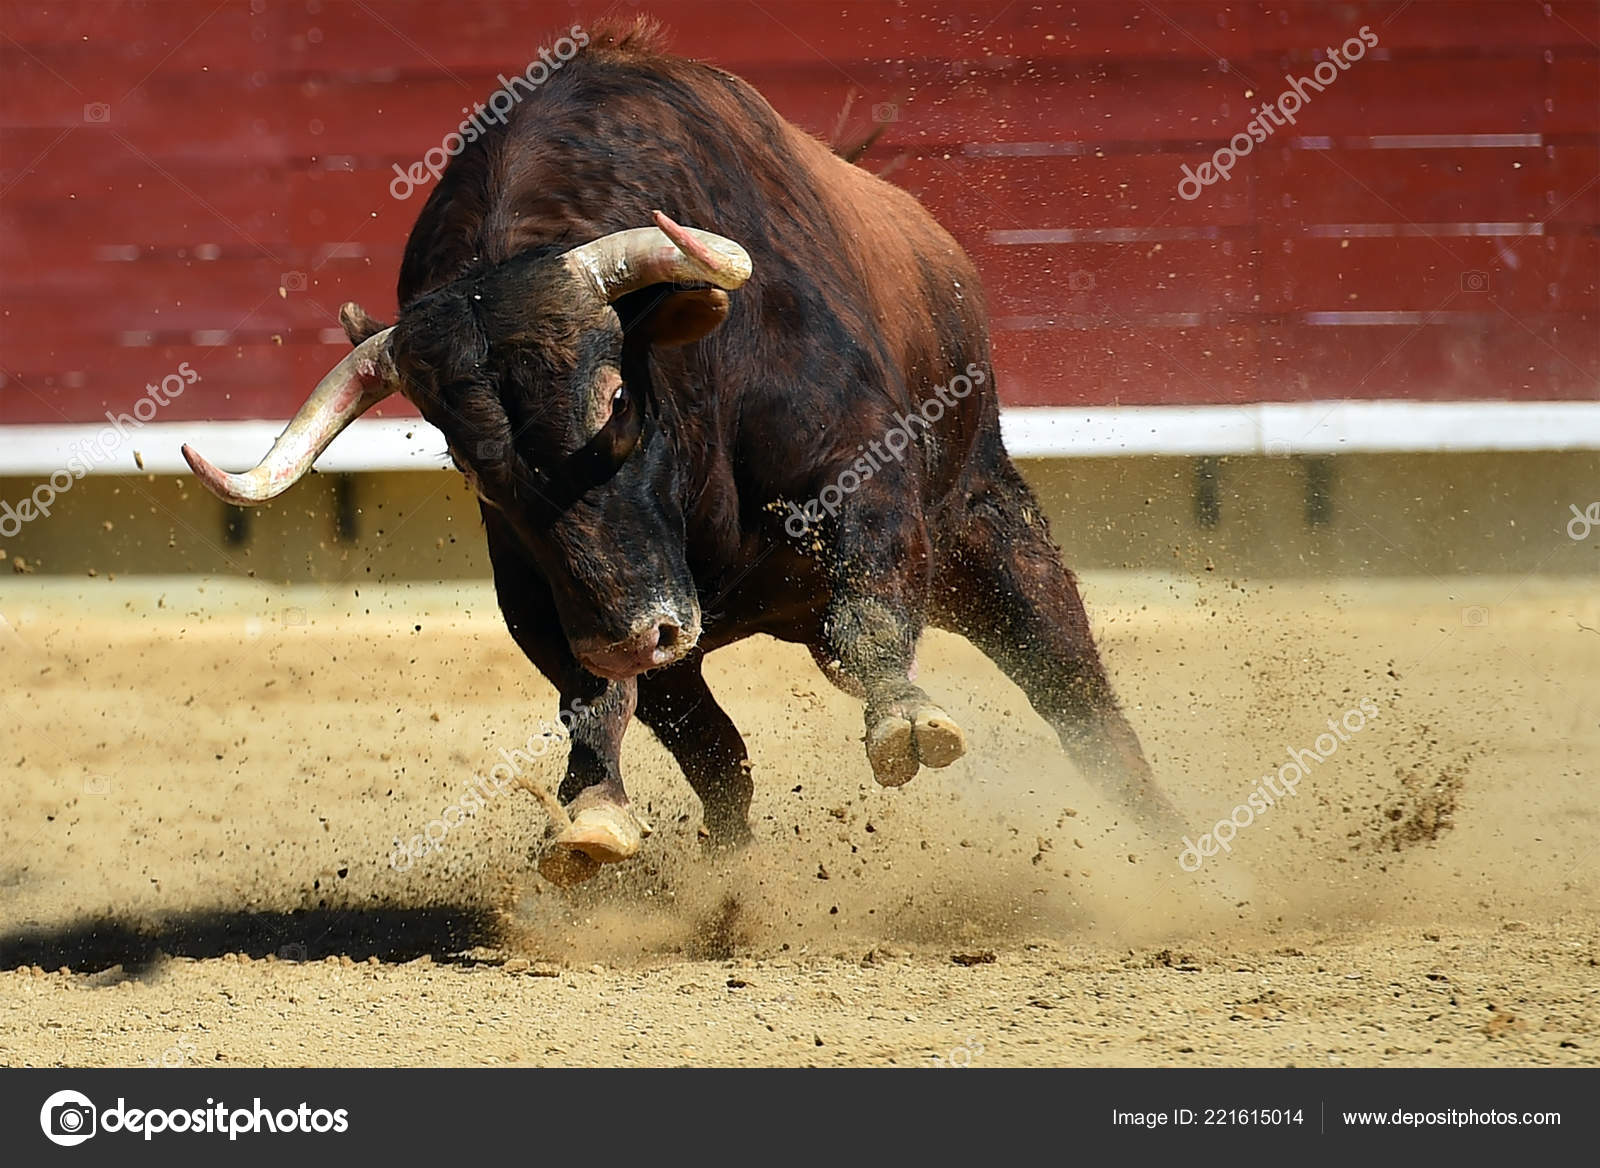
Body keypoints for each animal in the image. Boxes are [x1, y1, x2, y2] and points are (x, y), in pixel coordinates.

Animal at [182, 20, 1186, 885]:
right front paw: (602, 820)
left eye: (618, 399)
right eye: (468, 463)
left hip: (987, 522)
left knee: (1076, 690)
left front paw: (905, 722)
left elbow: (869, 610)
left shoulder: (865, 470)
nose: (632, 636)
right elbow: (661, 730)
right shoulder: (549, 600)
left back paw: (1172, 852)